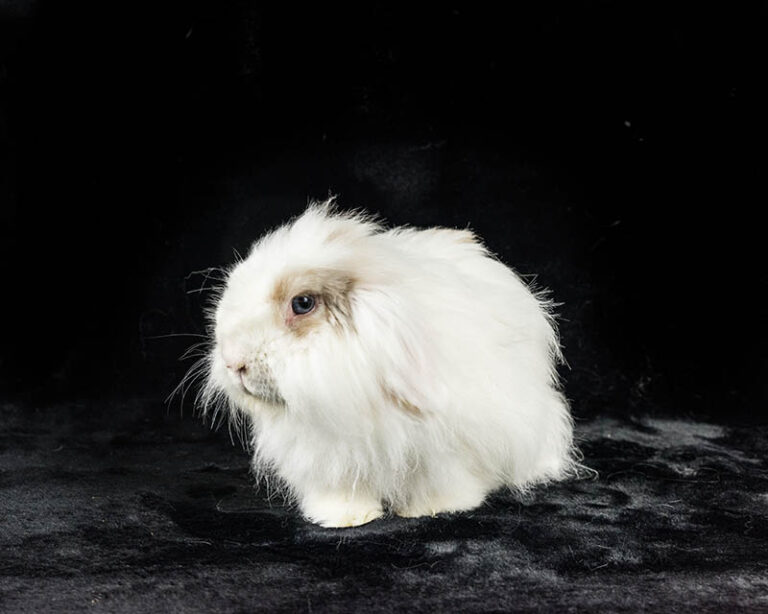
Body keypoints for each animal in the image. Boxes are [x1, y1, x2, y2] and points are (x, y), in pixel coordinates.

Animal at [199, 200, 576, 527]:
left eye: (302, 303)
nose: (232, 361)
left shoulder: (445, 451)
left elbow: (442, 482)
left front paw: (435, 509)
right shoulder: (332, 458)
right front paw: (343, 518)